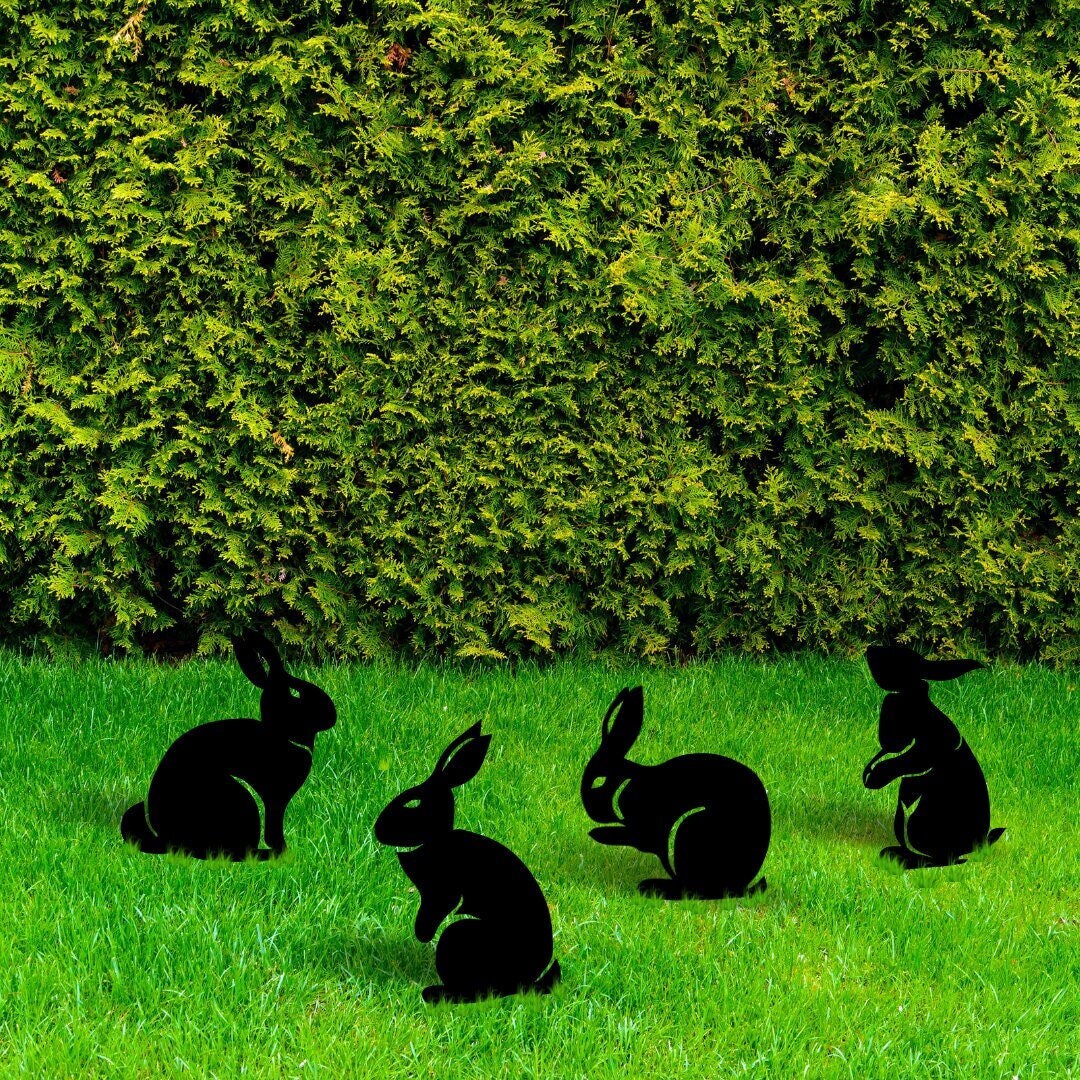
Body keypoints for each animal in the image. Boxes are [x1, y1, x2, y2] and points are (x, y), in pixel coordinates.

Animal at [121, 631, 337, 860]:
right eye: (297, 693)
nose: (332, 715)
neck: (279, 732)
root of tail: (166, 840)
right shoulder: (276, 795)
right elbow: (274, 824)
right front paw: (282, 850)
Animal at [373, 722, 561, 1004]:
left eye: (412, 802)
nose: (377, 829)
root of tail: (525, 981)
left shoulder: (441, 892)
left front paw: (422, 934)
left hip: (460, 936)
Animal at [862, 644, 1004, 869]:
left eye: (898, 656)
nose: (870, 648)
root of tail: (979, 844)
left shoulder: (926, 747)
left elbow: (907, 760)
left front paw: (877, 775)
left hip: (919, 821)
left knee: (945, 858)